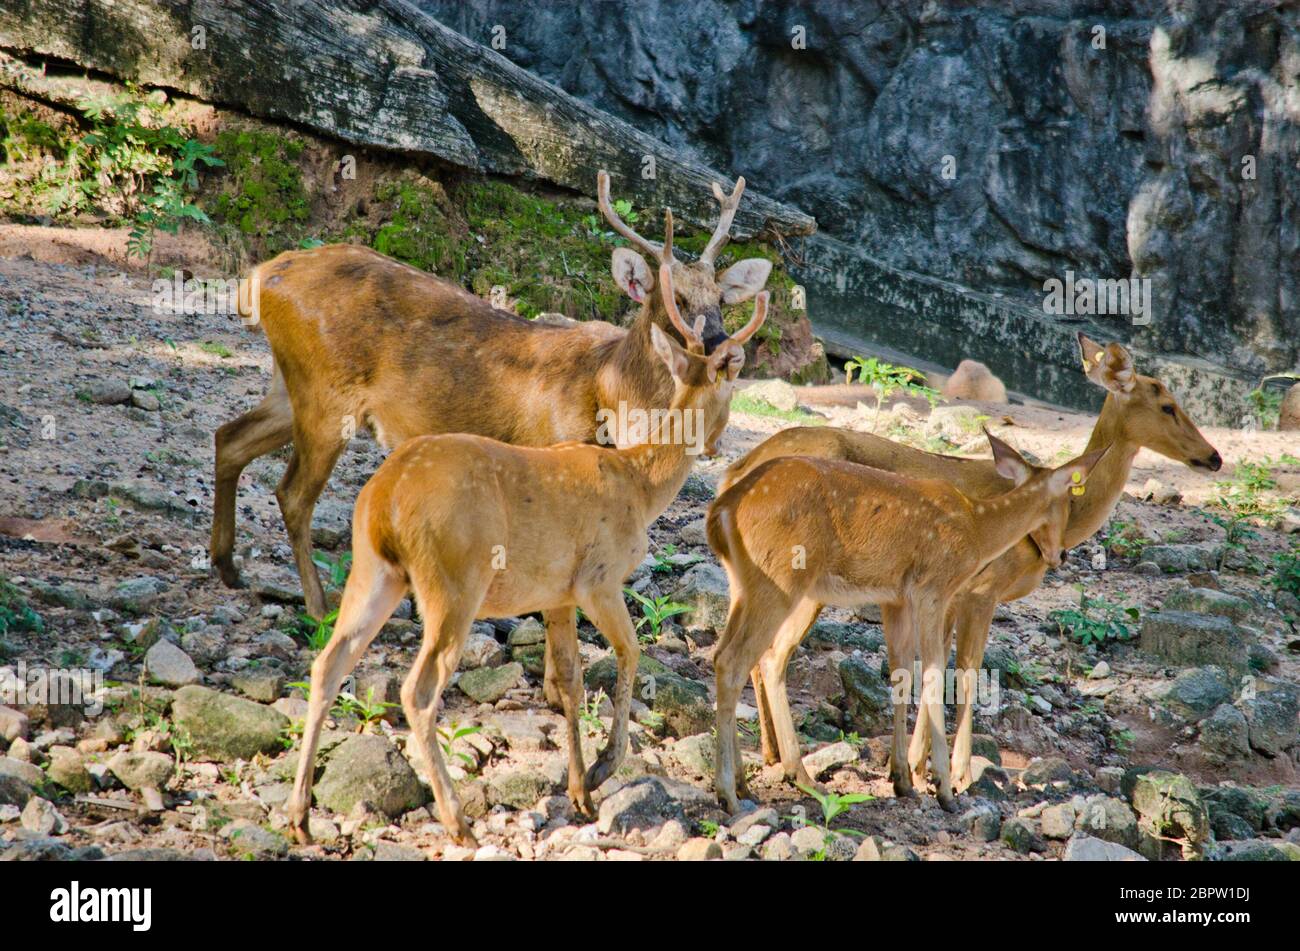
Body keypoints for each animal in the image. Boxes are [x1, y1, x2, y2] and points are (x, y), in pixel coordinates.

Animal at [210, 169, 774, 642]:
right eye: (674, 298)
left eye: (721, 299)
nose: (725, 347)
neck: (612, 392)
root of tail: (261, 276)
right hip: (325, 393)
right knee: (292, 493)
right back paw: (318, 607)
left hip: (290, 387)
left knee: (228, 437)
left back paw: (227, 566)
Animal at [286, 251, 768, 847]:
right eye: (731, 387)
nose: (719, 443)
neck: (639, 483)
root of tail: (384, 499)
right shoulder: (598, 576)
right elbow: (630, 651)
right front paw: (604, 768)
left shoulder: (557, 593)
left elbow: (570, 678)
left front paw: (581, 790)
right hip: (454, 581)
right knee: (417, 690)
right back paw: (458, 822)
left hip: (375, 569)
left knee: (328, 663)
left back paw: (301, 818)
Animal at [707, 430, 1108, 814]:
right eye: (1070, 502)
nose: (1060, 554)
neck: (977, 527)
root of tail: (722, 509)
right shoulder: (934, 587)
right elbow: (935, 672)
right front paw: (943, 788)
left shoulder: (896, 596)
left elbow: (901, 673)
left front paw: (902, 779)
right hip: (783, 578)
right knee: (739, 659)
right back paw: (735, 791)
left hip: (743, 582)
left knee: (729, 653)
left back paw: (751, 783)